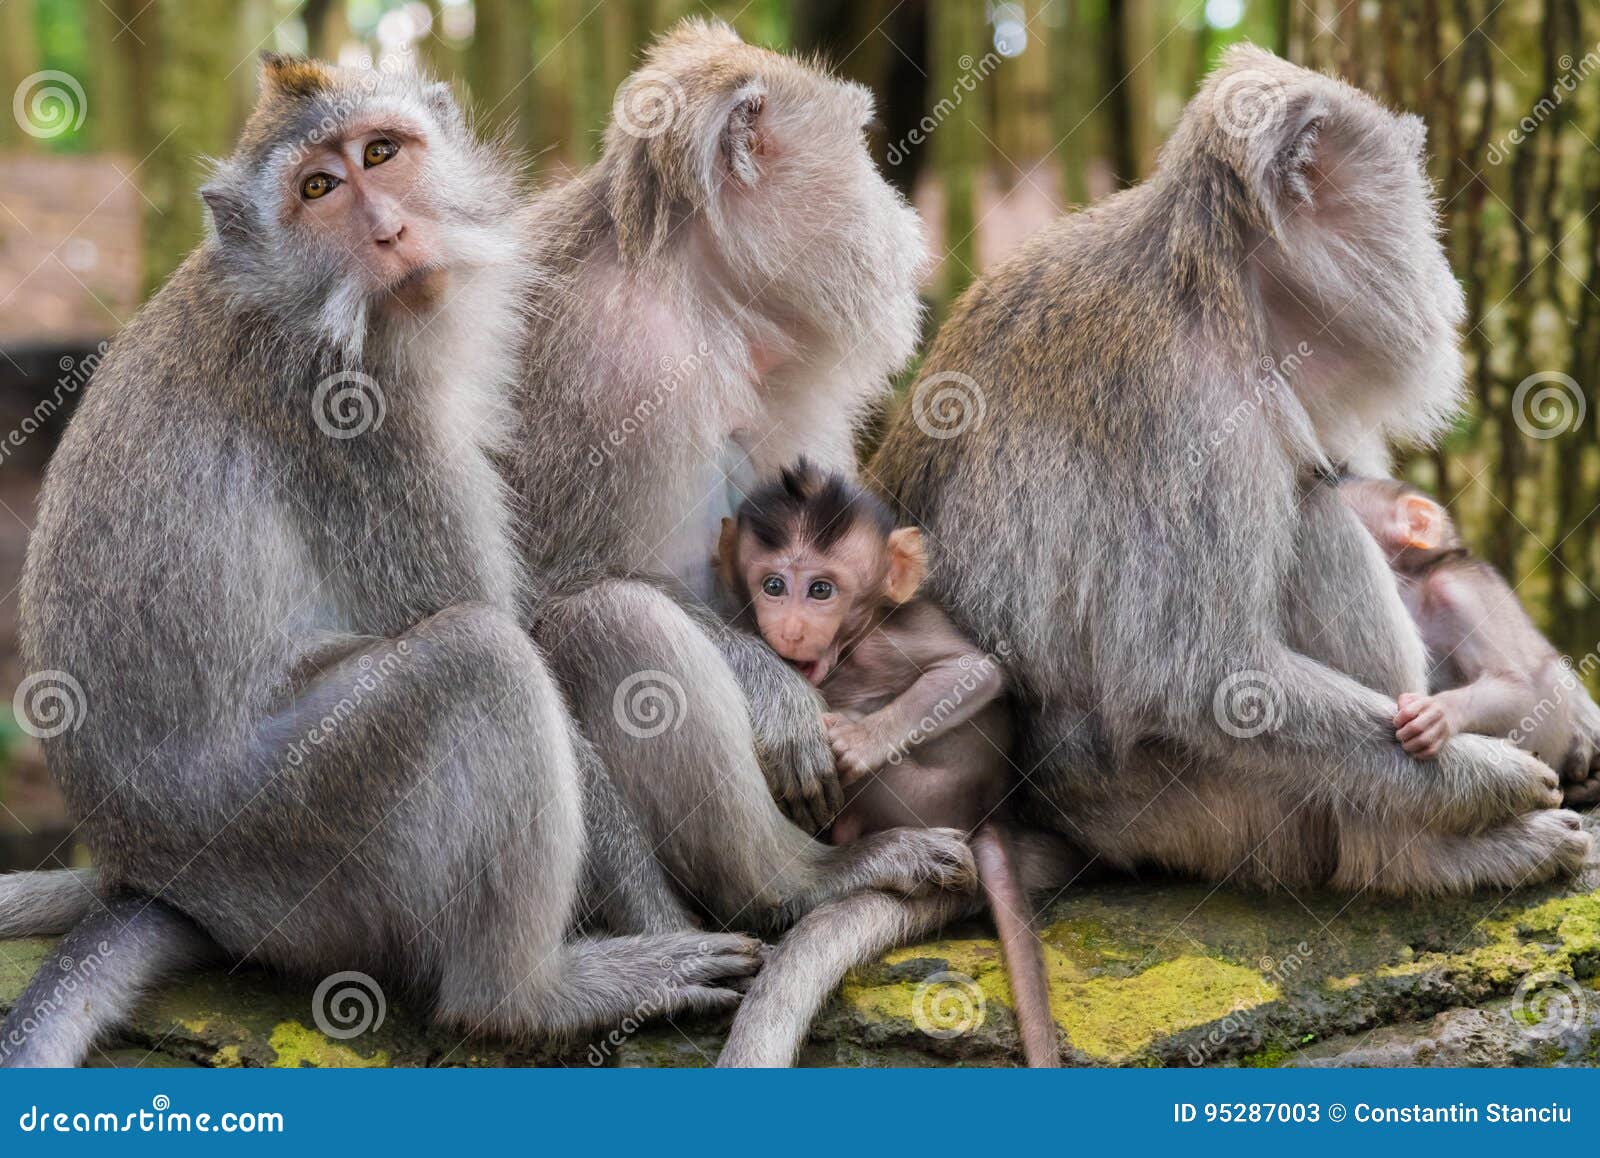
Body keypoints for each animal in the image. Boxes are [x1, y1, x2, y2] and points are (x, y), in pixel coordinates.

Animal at [0, 54, 762, 1068]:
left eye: (381, 154)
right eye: (318, 190)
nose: (391, 231)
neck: (301, 302)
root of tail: (149, 870)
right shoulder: (358, 414)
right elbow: (497, 626)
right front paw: (673, 918)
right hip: (292, 832)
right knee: (476, 659)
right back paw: (530, 995)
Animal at [712, 462, 1060, 1067]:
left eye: (821, 590)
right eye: (773, 586)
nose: (792, 629)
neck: (850, 649)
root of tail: (987, 814)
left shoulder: (896, 638)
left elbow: (976, 672)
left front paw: (857, 742)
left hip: (916, 794)